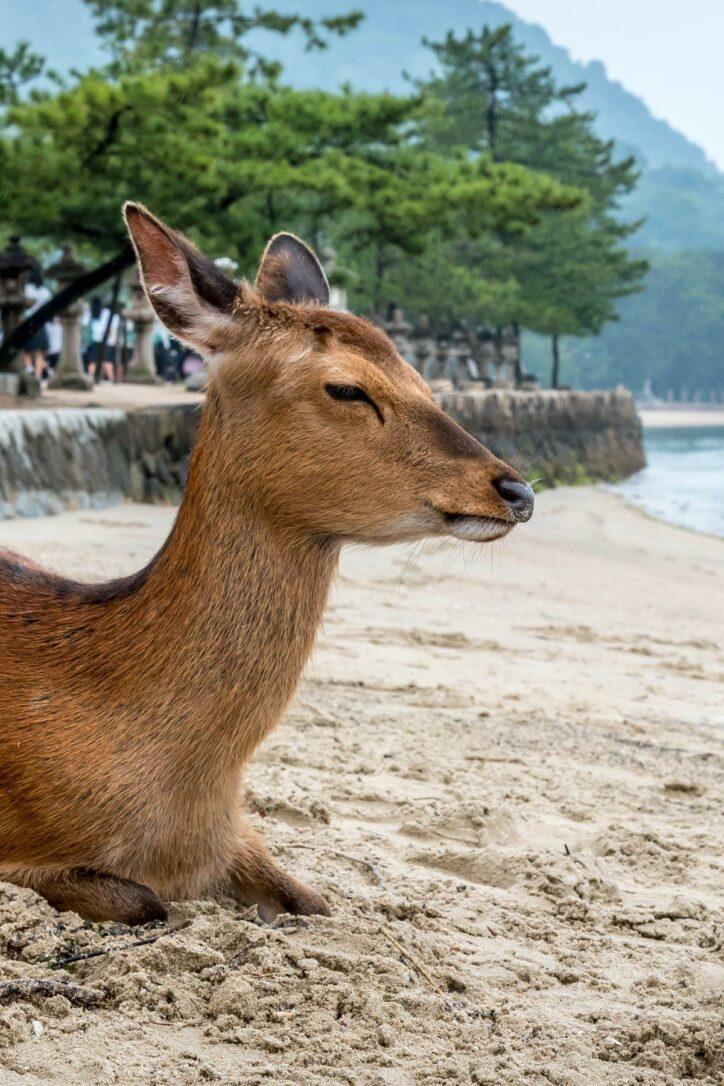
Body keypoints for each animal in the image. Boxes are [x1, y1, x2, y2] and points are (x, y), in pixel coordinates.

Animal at [0, 204, 534, 926]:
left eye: (425, 381)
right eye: (347, 388)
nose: (516, 489)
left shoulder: (238, 837)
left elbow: (316, 901)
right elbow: (147, 903)